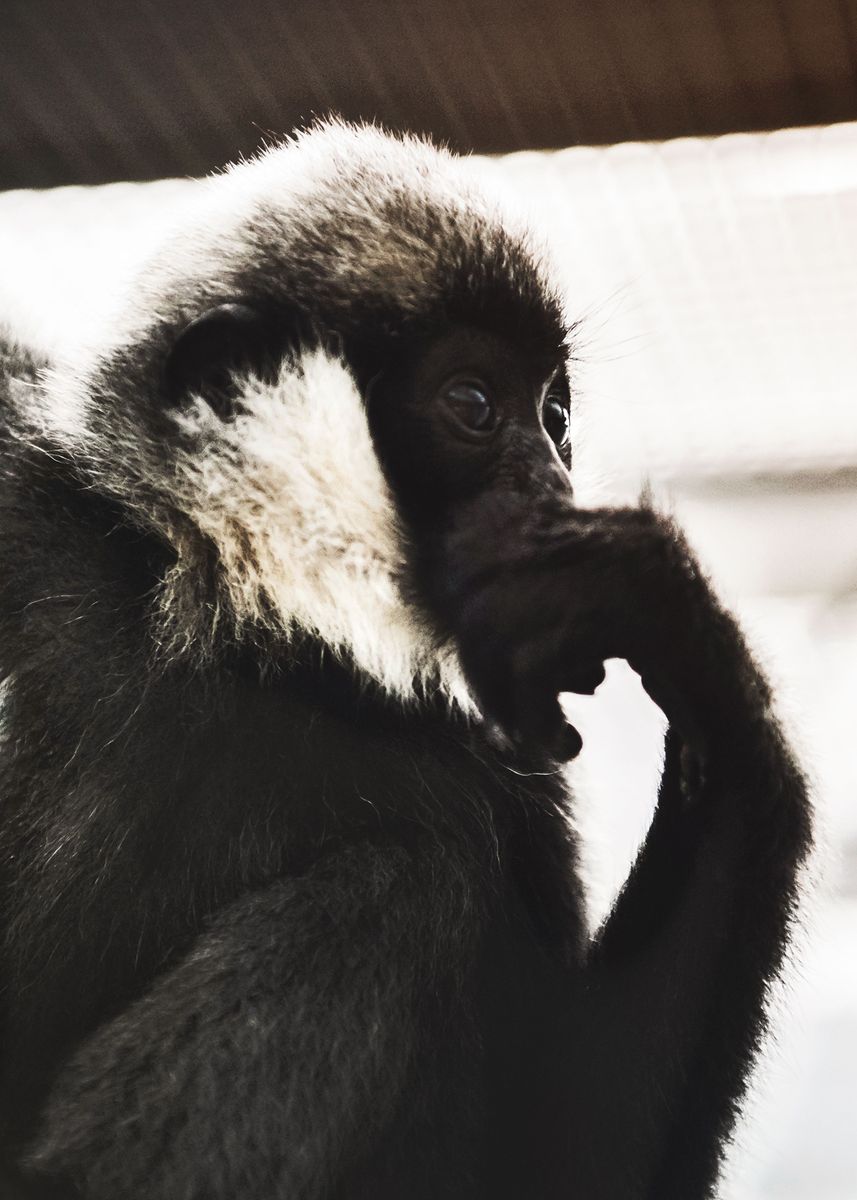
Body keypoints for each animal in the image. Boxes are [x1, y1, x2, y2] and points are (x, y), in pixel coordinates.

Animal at [0, 121, 811, 1200]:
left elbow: (560, 1161)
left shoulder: (505, 772)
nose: (549, 480)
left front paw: (659, 608)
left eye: (555, 418)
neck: (232, 633)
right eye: (475, 404)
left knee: (402, 888)